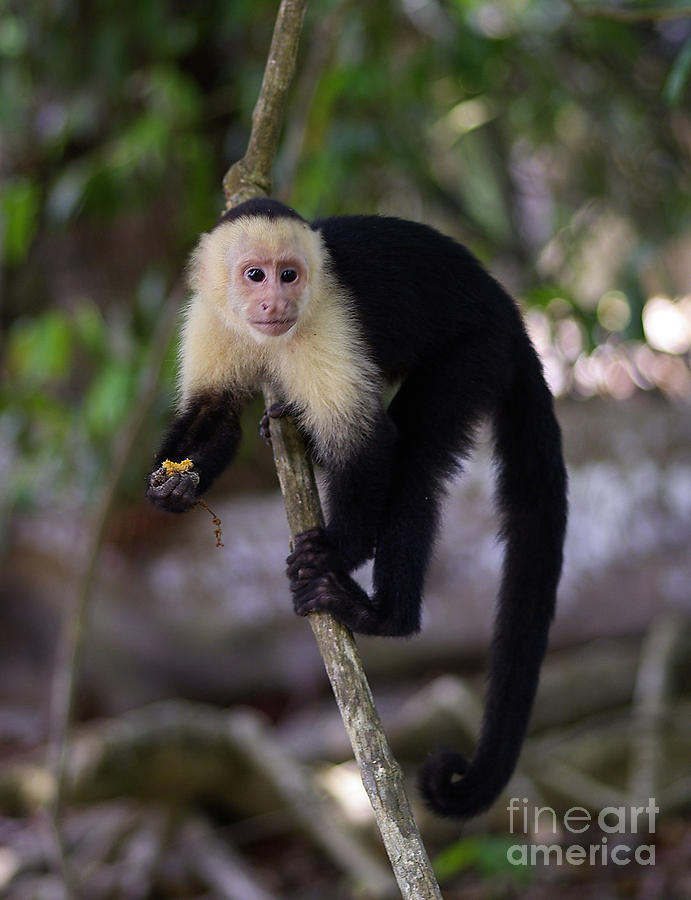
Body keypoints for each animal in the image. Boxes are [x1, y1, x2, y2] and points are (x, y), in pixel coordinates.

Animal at [146, 197, 568, 819]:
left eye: (289, 274)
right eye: (255, 275)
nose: (276, 302)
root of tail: (507, 308)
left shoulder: (327, 328)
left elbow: (368, 444)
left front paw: (336, 552)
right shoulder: (209, 320)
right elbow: (214, 414)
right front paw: (174, 488)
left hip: (477, 349)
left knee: (414, 459)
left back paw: (384, 615)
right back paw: (293, 427)